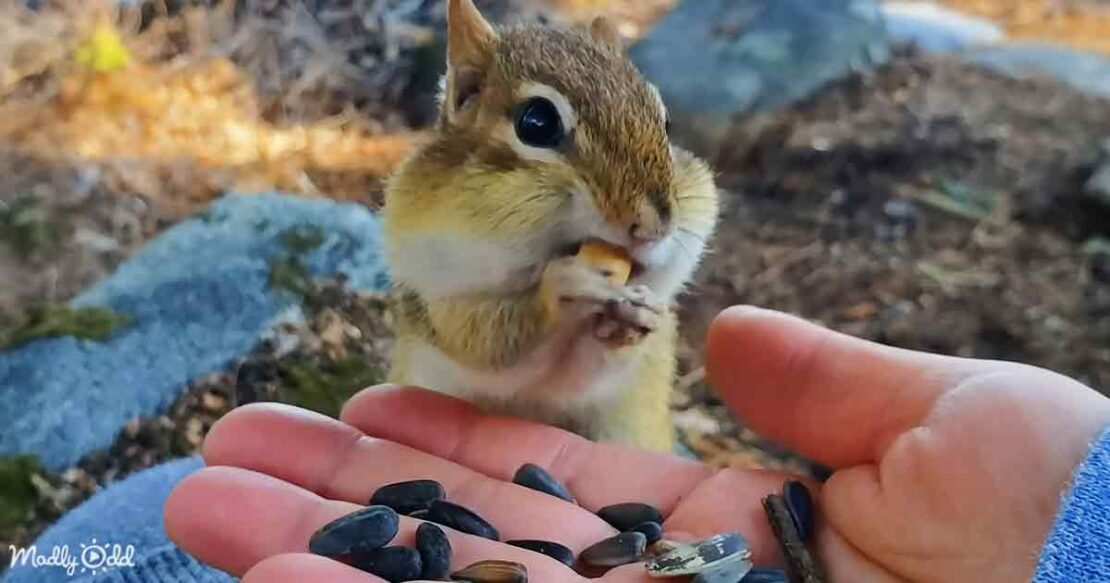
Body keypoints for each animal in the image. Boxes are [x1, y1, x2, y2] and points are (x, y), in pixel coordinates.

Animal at [383, 0, 719, 452]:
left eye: (665, 125)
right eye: (536, 123)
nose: (652, 227)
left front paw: (639, 314)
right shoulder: (439, 299)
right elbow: (487, 344)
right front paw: (563, 285)